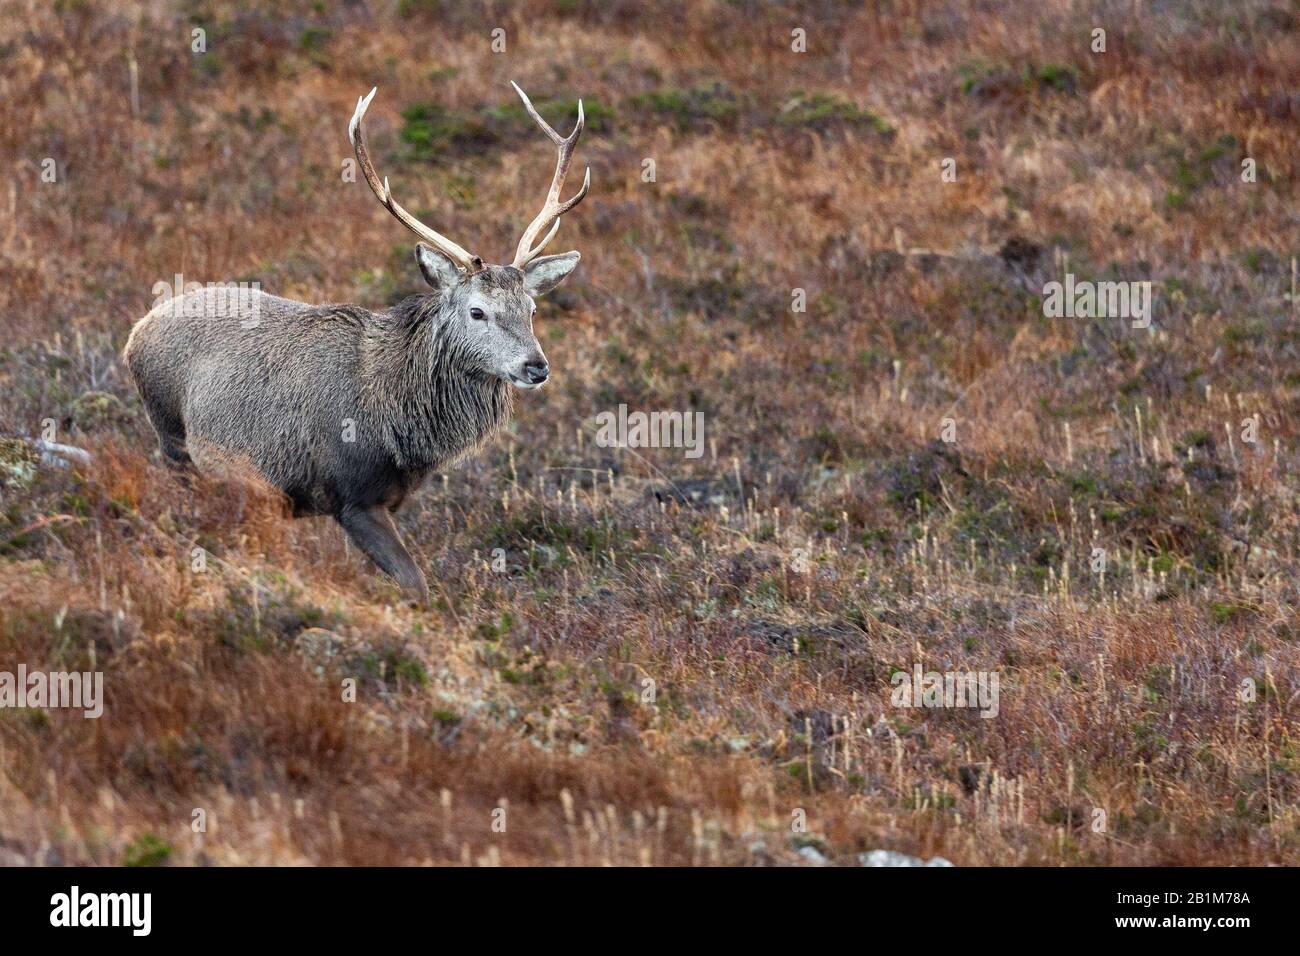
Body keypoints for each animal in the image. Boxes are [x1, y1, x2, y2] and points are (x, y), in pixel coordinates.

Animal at [123, 84, 590, 603]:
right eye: (477, 311)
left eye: (532, 310)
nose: (536, 366)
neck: (401, 426)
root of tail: (135, 333)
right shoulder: (351, 495)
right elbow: (416, 584)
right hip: (173, 440)